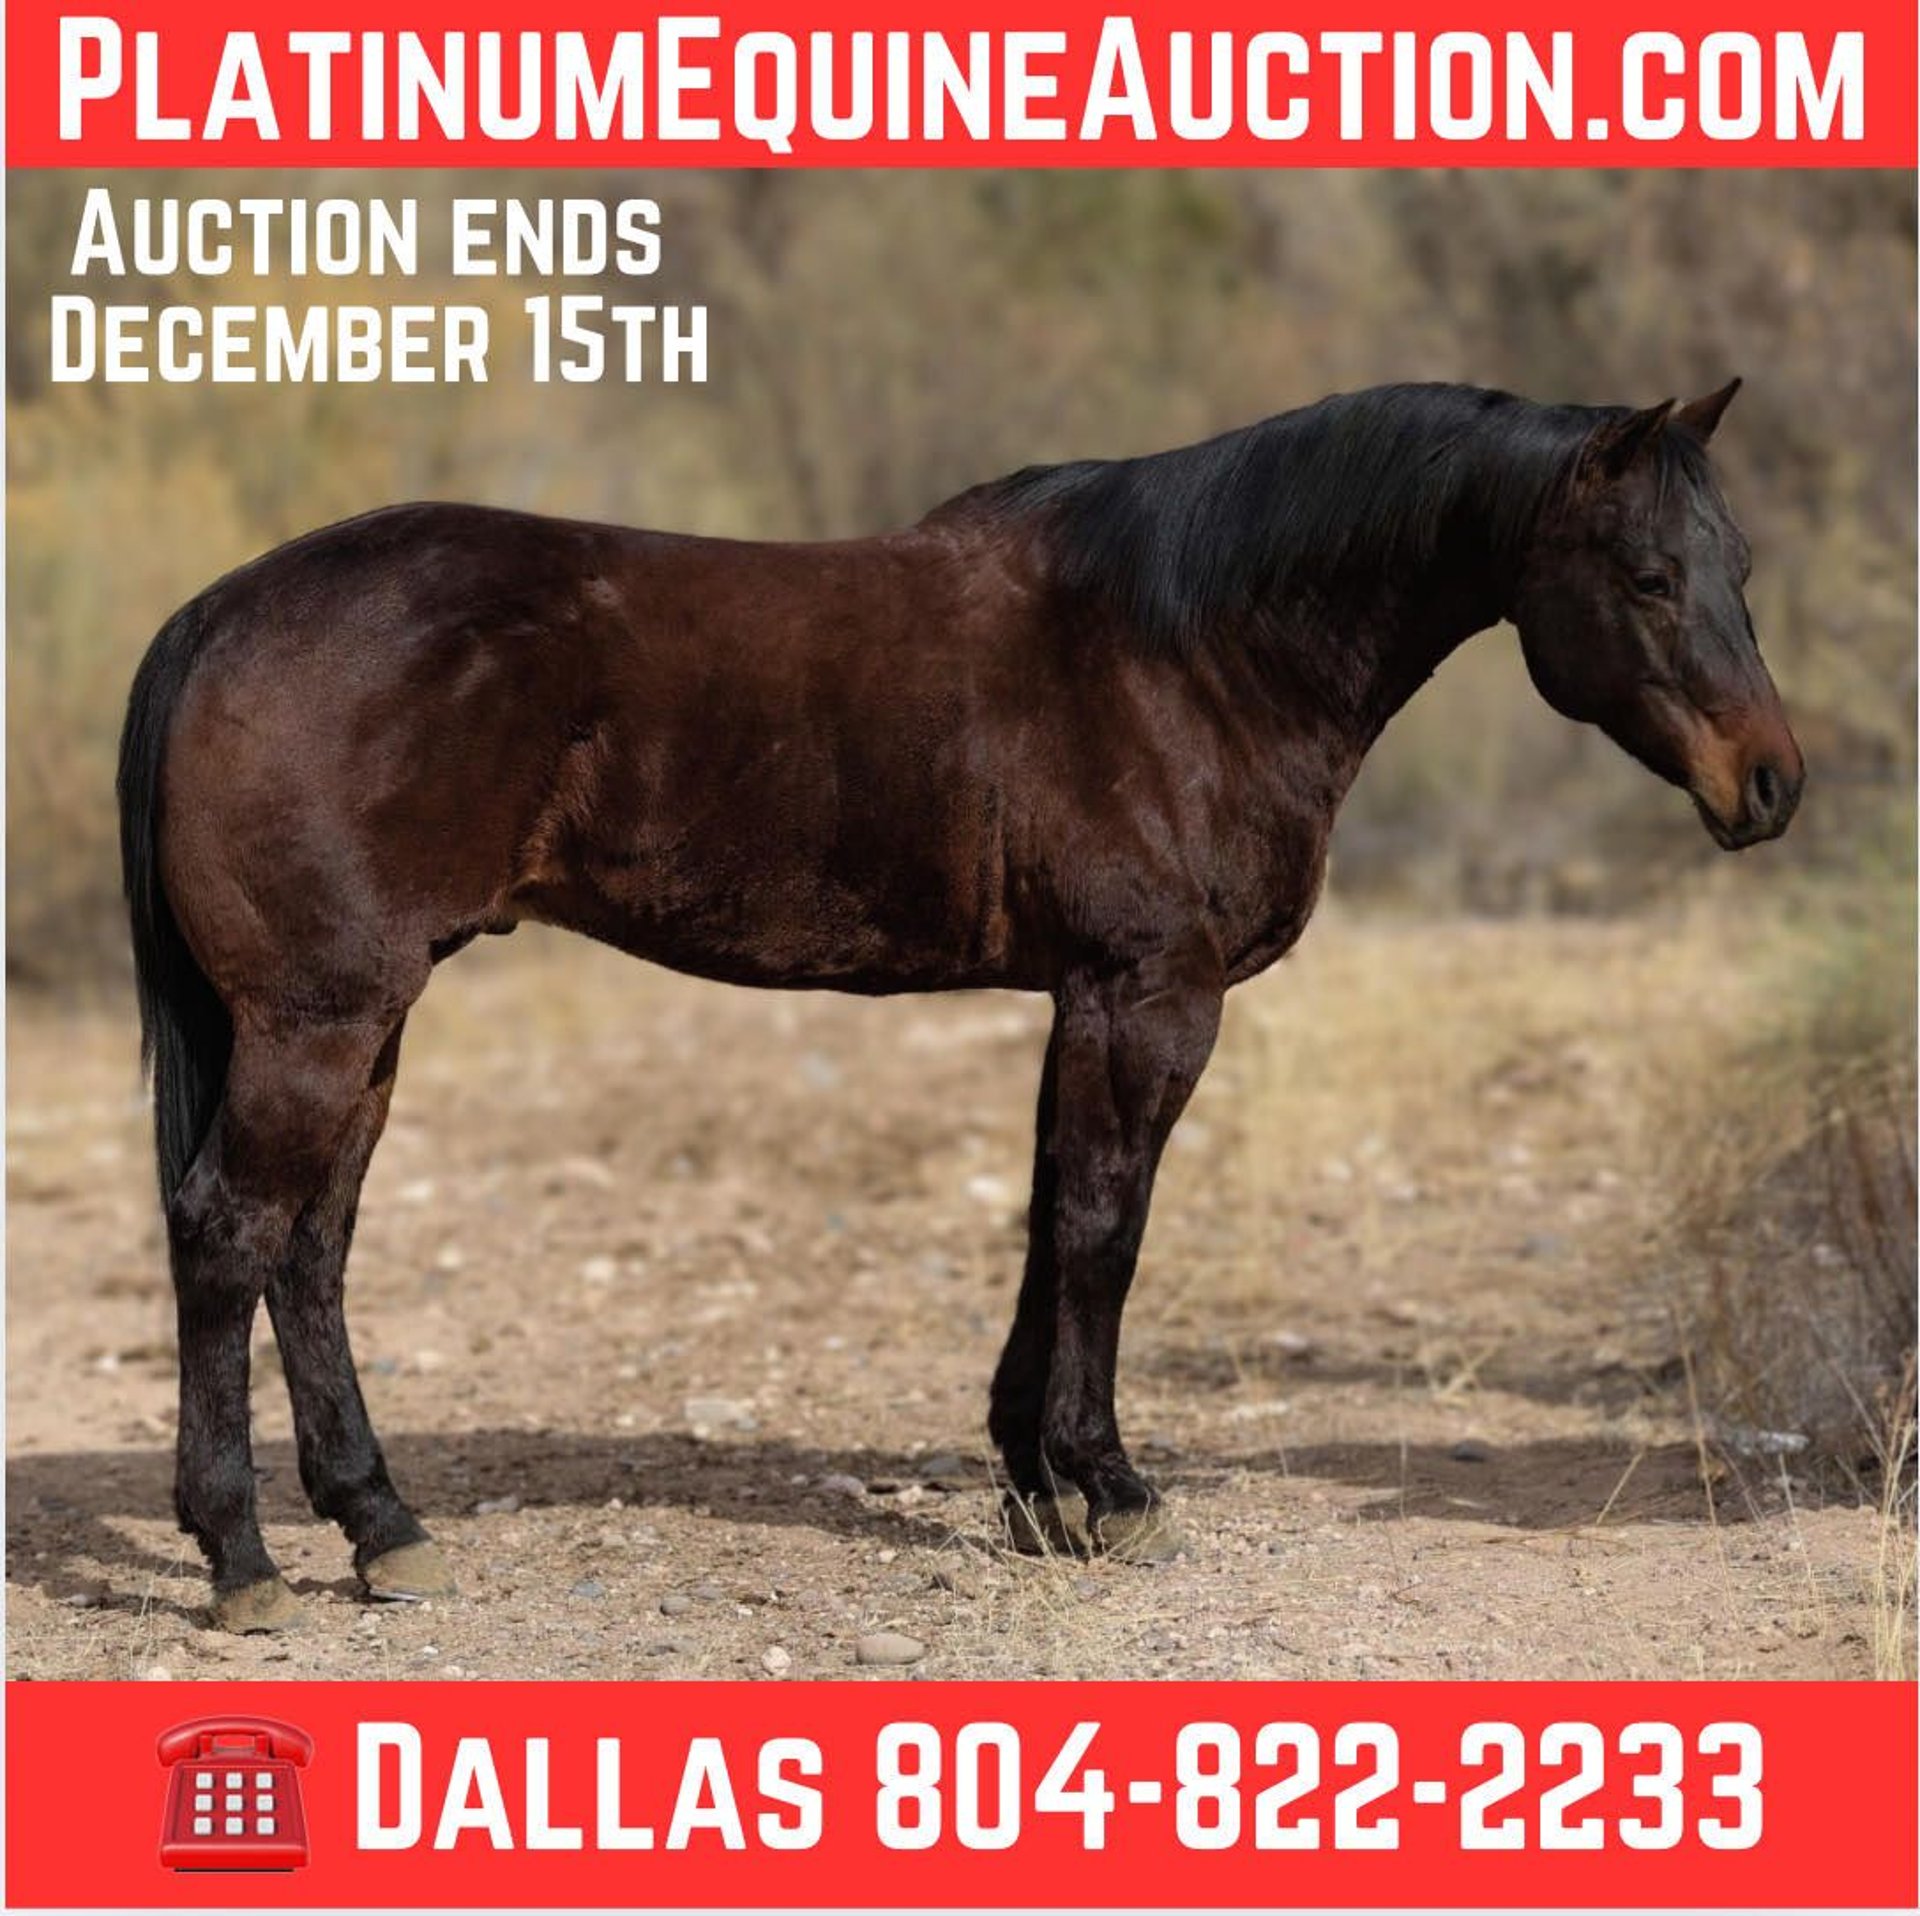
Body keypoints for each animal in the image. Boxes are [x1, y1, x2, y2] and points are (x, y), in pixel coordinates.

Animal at [118, 378, 1803, 1630]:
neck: (1187, 645)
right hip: (321, 1019)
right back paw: (245, 1561)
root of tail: (219, 612)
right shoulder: (1149, 999)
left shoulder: (1081, 1000)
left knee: (311, 1251)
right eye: (1649, 578)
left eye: (1740, 570)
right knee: (228, 1233)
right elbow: (1106, 1231)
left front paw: (1035, 1490)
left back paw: (383, 1529)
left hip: (363, 1021)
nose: (1772, 787)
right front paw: (1112, 1492)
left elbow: (1052, 1222)